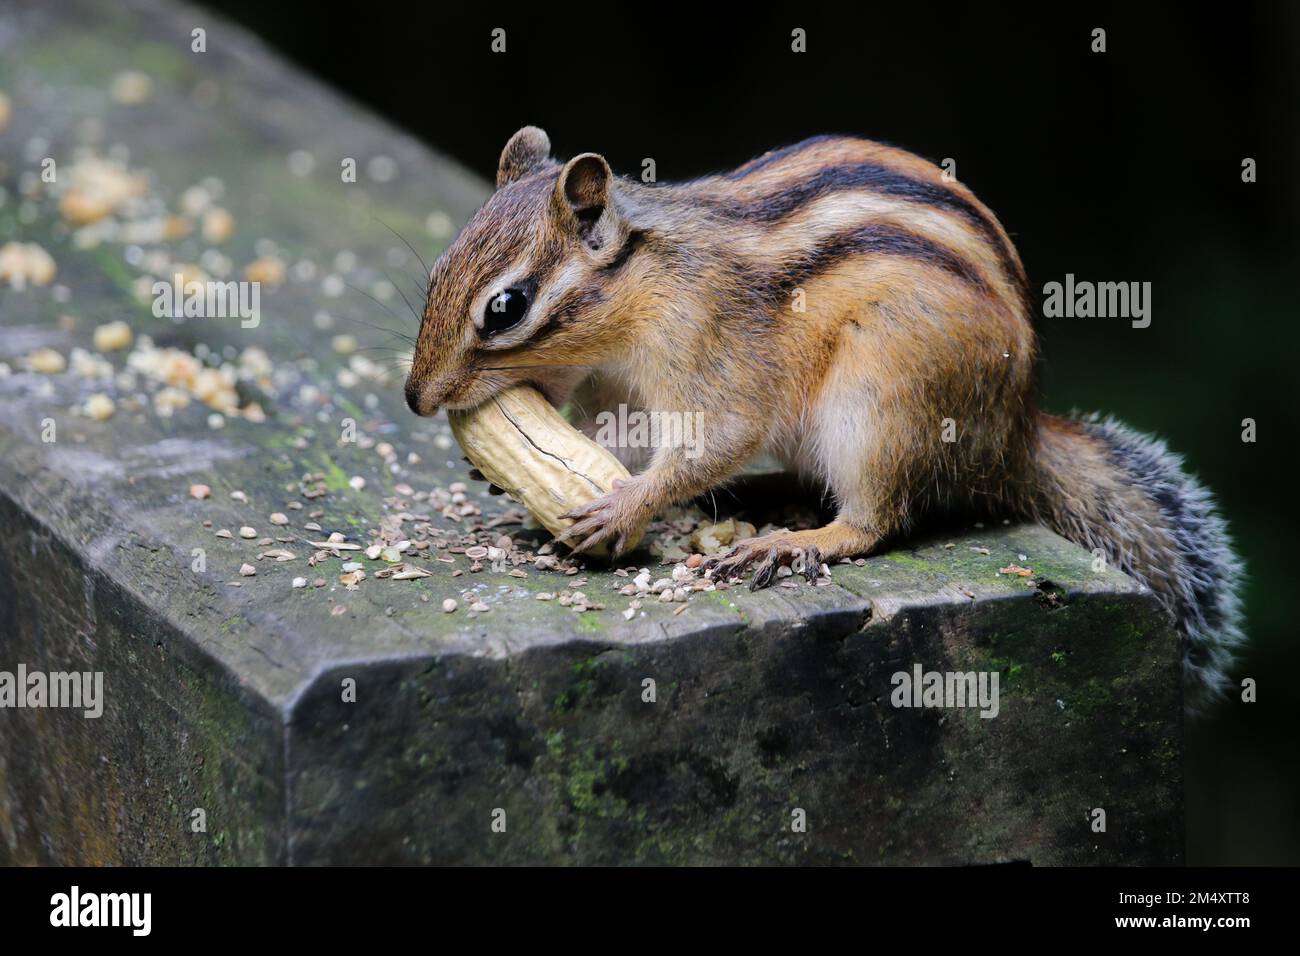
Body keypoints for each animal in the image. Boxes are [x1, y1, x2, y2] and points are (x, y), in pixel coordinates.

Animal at [404, 126, 1244, 709]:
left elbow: (716, 439)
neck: (642, 292)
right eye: (438, 268)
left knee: (877, 519)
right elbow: (615, 438)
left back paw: (791, 542)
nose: (417, 397)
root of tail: (1014, 436)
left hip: (882, 403)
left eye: (505, 307)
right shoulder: (616, 393)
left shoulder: (712, 356)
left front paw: (624, 505)